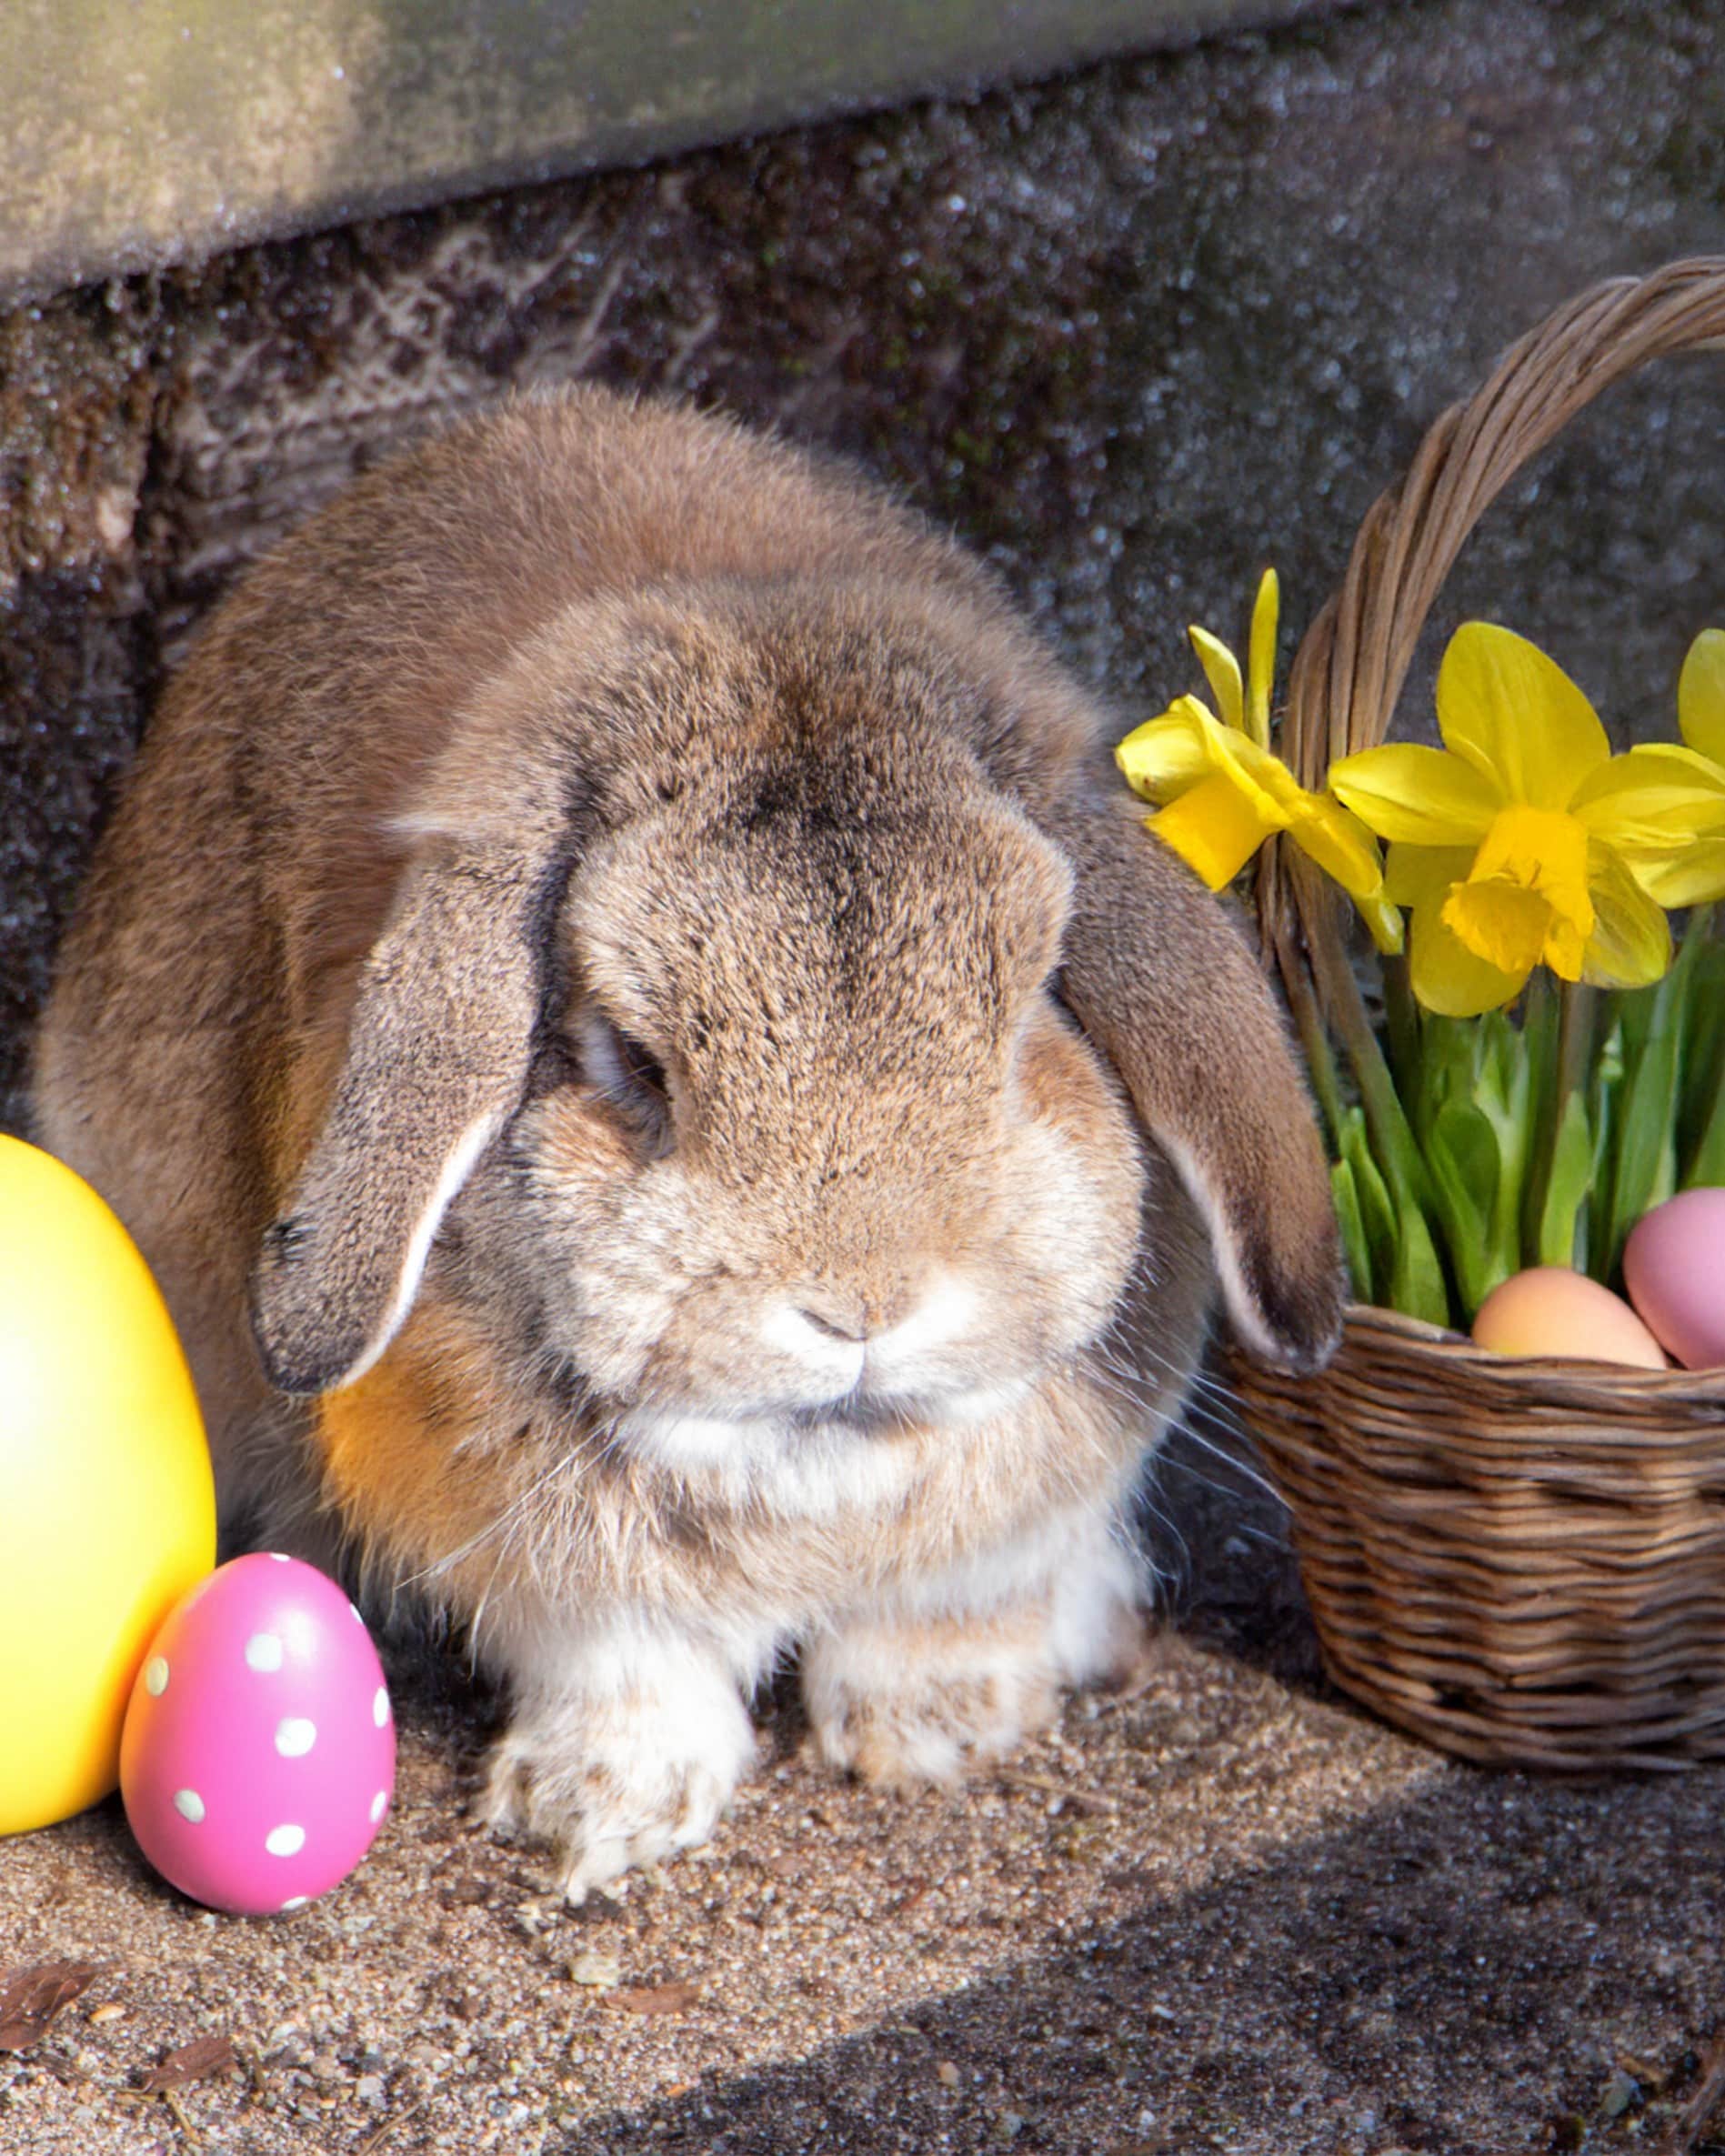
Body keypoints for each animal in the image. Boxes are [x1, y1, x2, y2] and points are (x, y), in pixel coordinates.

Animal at [32, 384, 1341, 1900]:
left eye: (1028, 1017)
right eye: (631, 1059)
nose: (862, 1304)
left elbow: (954, 1606)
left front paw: (943, 1729)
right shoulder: (550, 1565)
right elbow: (624, 1661)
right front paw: (596, 1809)